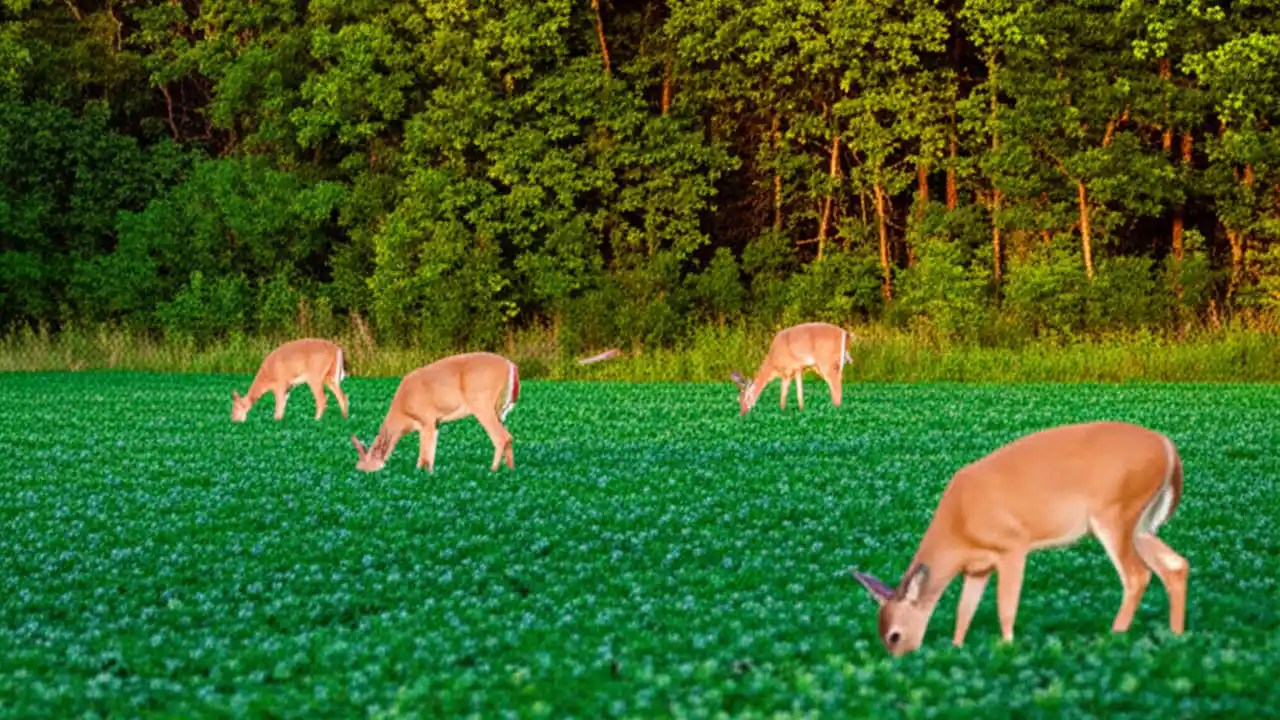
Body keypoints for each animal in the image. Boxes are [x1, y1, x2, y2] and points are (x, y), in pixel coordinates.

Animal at [350, 352, 519, 474]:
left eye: (365, 469)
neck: (402, 412)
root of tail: (510, 365)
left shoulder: (427, 418)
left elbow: (425, 453)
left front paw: (424, 473)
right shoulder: (433, 422)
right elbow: (428, 451)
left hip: (481, 403)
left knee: (501, 437)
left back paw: (492, 470)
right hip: (499, 409)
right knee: (508, 436)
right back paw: (511, 470)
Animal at [850, 421, 1189, 656]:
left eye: (894, 635)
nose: (900, 660)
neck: (959, 526)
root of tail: (1169, 447)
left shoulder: (1012, 546)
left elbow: (1006, 606)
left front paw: (1007, 647)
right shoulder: (978, 568)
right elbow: (964, 611)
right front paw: (957, 649)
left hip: (1115, 513)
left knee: (1137, 575)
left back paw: (1113, 637)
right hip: (1142, 524)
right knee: (1175, 565)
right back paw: (1176, 636)